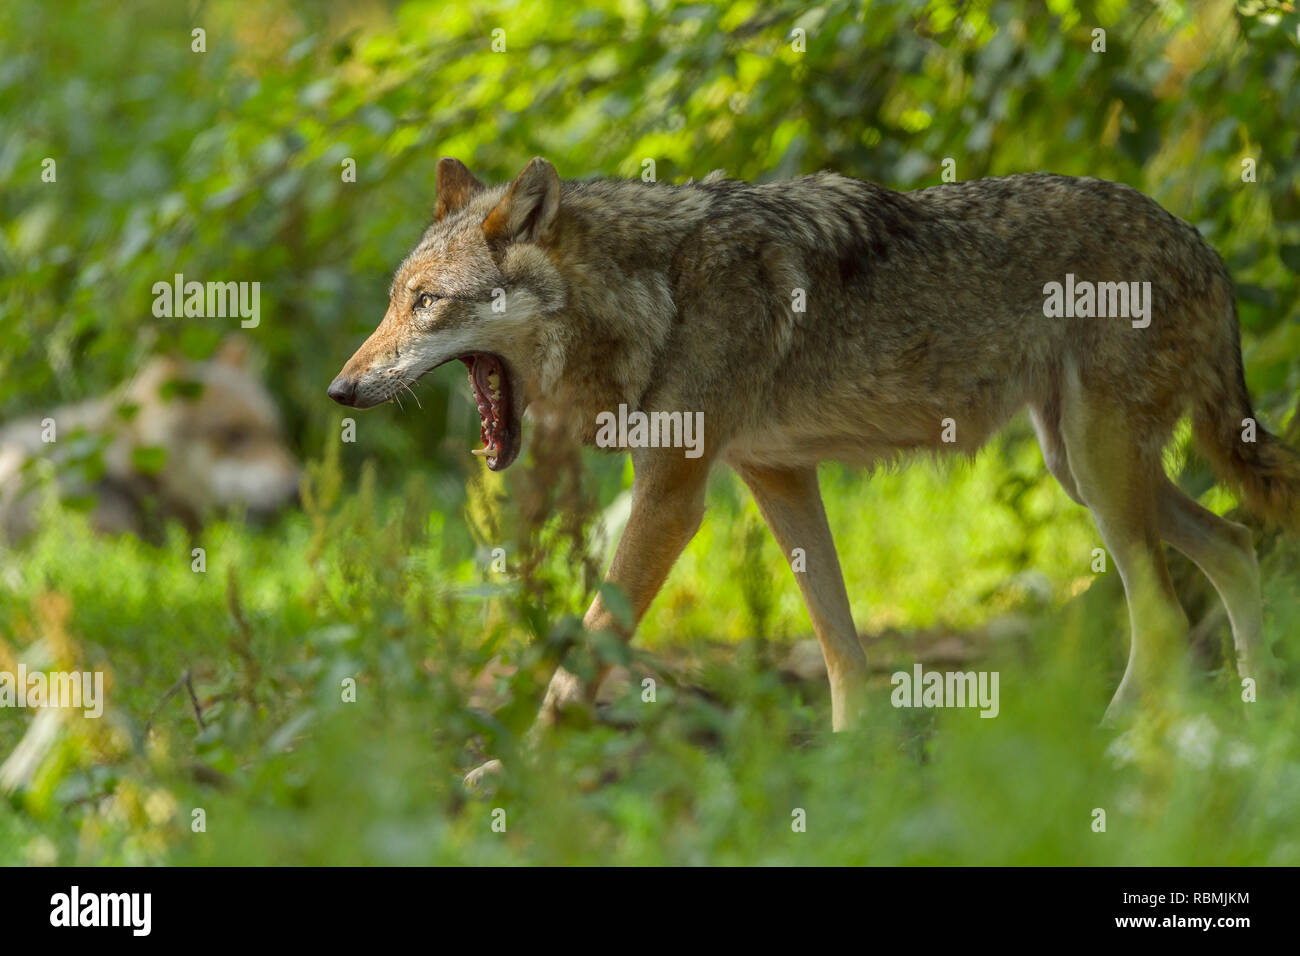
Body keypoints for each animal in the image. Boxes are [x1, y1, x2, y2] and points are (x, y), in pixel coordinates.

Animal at [329, 157, 1300, 744]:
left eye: (425, 303)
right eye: (394, 301)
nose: (340, 390)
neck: (656, 292)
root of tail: (1203, 243)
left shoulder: (674, 496)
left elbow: (584, 656)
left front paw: (527, 768)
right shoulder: (778, 475)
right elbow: (842, 648)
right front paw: (848, 767)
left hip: (1097, 468)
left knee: (1166, 617)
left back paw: (1110, 747)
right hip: (1084, 470)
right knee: (1235, 546)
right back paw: (1258, 717)